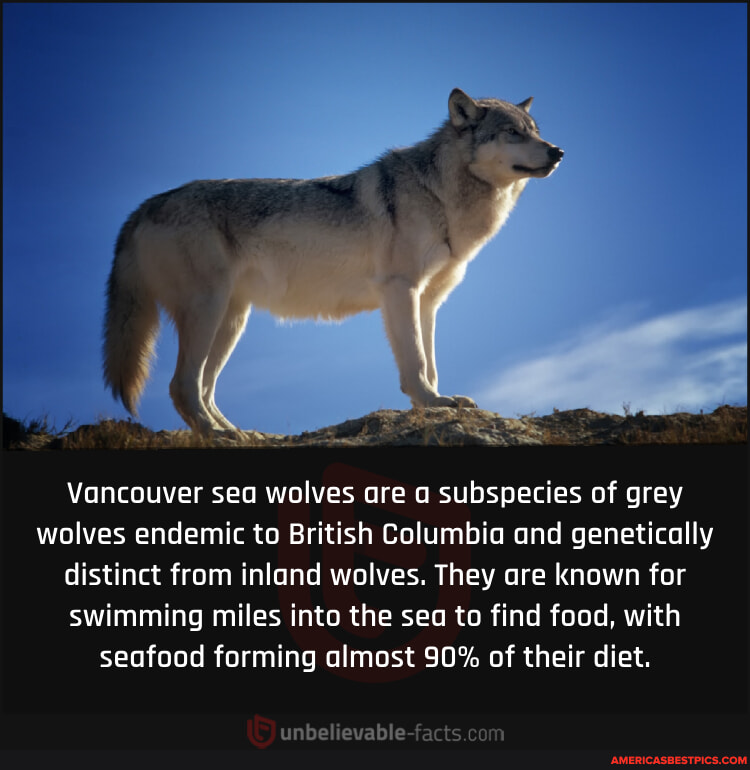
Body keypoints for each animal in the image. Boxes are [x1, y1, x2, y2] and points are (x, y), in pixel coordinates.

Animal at [103, 88, 563, 432]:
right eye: (512, 133)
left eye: (535, 132)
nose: (558, 152)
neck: (440, 195)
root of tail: (143, 207)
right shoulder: (400, 290)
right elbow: (415, 362)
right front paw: (431, 404)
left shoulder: (429, 301)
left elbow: (431, 363)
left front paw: (435, 403)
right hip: (208, 311)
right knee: (182, 386)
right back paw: (219, 436)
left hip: (232, 321)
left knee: (202, 388)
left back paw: (241, 434)